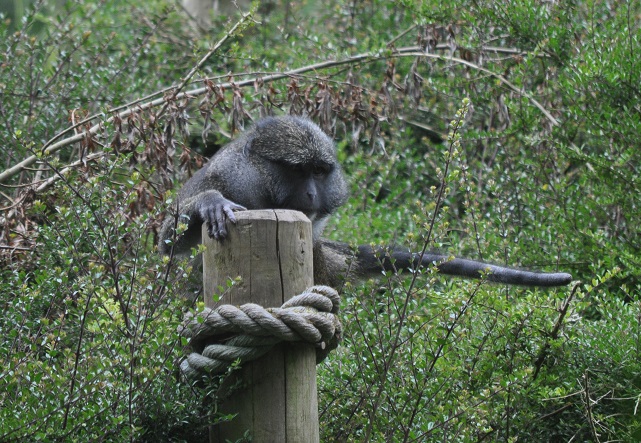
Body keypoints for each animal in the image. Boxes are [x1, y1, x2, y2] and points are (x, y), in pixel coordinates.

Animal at [158, 115, 572, 288]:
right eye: (299, 171)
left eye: (319, 171)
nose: (312, 194)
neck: (261, 184)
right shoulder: (226, 173)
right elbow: (167, 240)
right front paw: (210, 203)